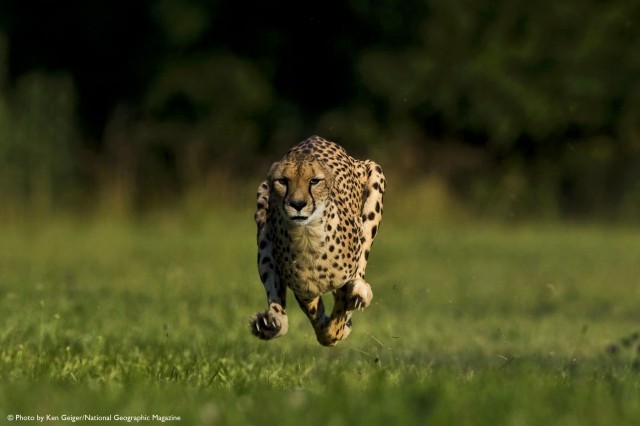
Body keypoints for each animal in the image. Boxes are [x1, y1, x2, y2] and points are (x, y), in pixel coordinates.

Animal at [250, 135, 386, 346]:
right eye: (283, 181)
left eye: (314, 181)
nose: (297, 204)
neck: (308, 236)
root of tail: (315, 138)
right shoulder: (305, 291)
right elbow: (320, 320)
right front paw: (332, 330)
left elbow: (339, 313)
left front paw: (340, 326)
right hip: (263, 209)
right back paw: (271, 324)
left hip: (374, 174)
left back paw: (359, 290)